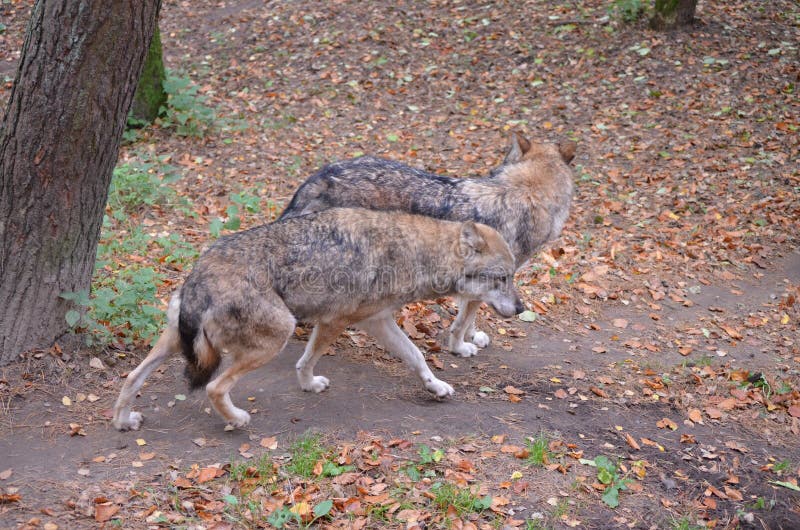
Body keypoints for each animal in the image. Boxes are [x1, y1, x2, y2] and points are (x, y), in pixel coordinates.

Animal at [112, 208, 523, 430]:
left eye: (513, 276)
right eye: (502, 278)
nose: (520, 309)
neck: (413, 252)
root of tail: (199, 273)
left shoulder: (378, 322)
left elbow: (417, 358)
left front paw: (436, 387)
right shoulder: (335, 322)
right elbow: (307, 360)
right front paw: (309, 384)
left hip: (172, 343)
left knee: (132, 376)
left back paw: (123, 421)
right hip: (279, 333)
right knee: (214, 387)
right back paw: (238, 419)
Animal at [278, 133, 576, 357]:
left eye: (498, 166)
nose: (491, 171)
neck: (528, 191)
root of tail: (321, 176)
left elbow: (471, 314)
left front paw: (474, 336)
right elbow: (460, 322)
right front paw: (459, 348)